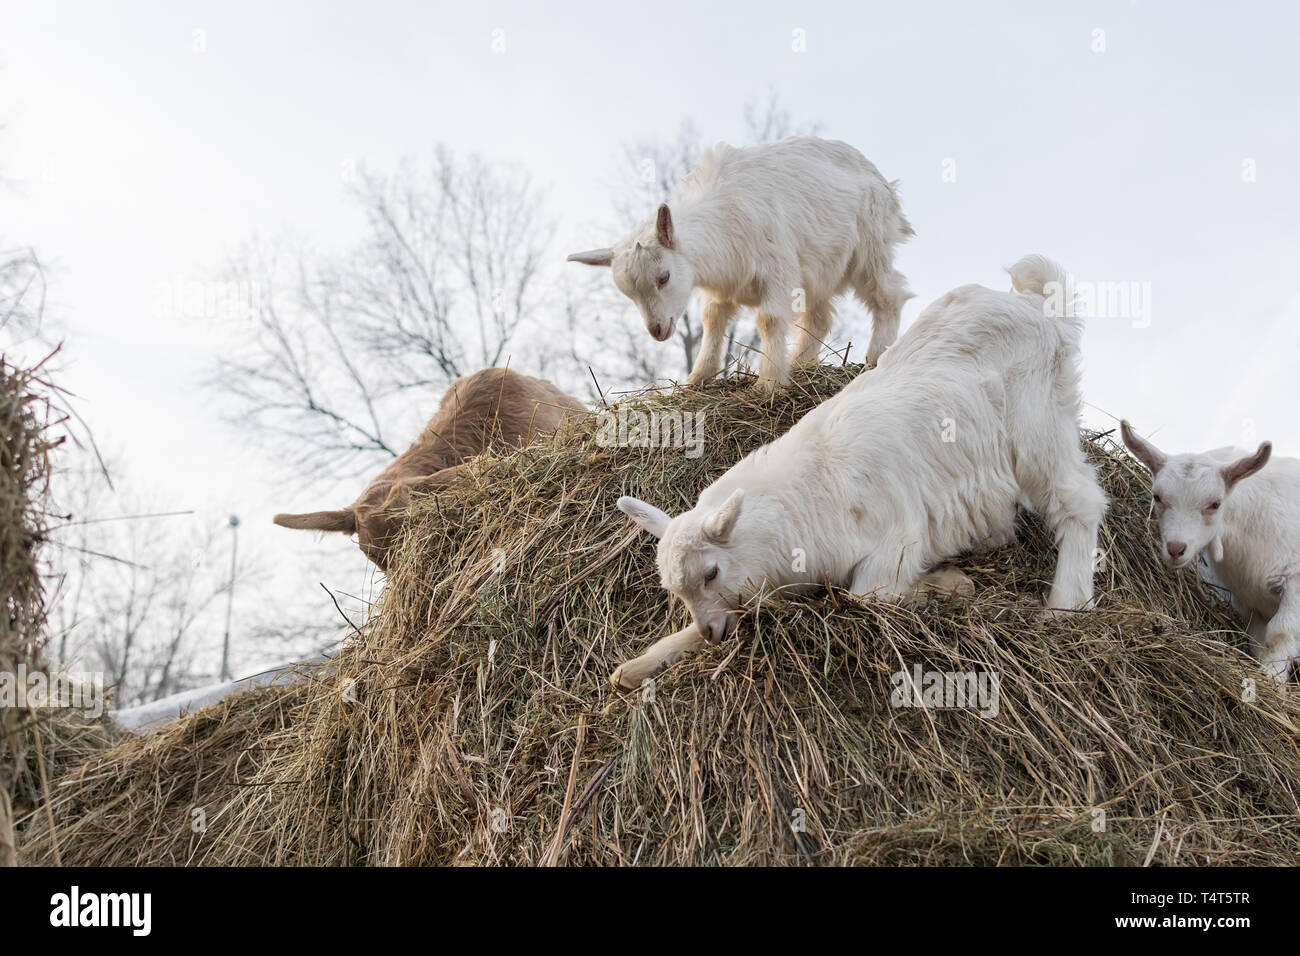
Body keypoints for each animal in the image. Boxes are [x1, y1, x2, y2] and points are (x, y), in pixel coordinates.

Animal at [568, 136, 914, 391]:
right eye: (628, 293)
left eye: (663, 277)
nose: (658, 331)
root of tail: (881, 179)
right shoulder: (723, 287)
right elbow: (712, 320)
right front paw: (698, 378)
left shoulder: (778, 269)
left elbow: (769, 320)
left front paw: (768, 384)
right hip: (817, 269)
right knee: (818, 319)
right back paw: (799, 365)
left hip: (870, 248)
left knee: (888, 296)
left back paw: (876, 356)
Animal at [611, 255, 1107, 688]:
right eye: (676, 591)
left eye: (711, 572)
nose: (713, 633)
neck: (810, 493)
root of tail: (1037, 304)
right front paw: (634, 668)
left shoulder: (896, 539)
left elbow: (864, 595)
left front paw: (950, 585)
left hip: (1036, 425)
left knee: (1079, 501)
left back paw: (1066, 605)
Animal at [1120, 421, 1298, 682]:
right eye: (1157, 496)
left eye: (1215, 504)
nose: (1175, 549)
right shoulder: (1252, 605)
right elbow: (1258, 643)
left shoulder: (1295, 584)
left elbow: (1281, 634)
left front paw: (1272, 681)